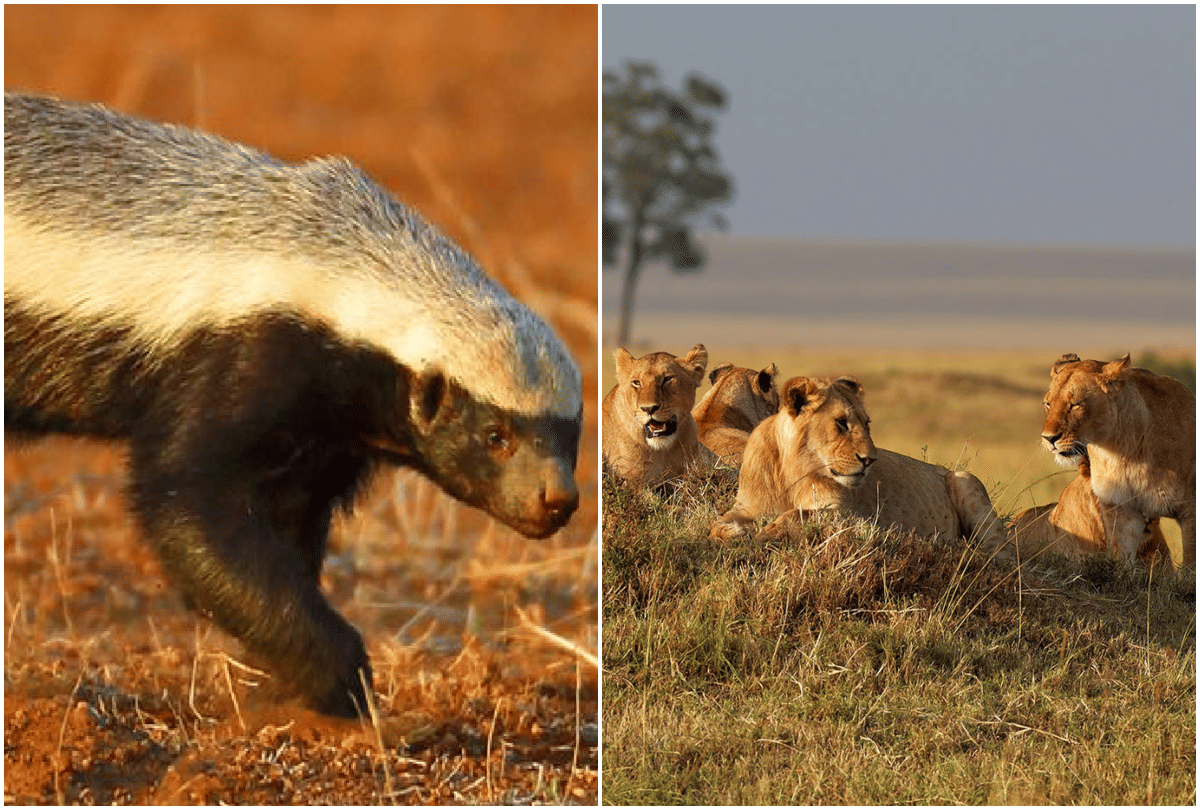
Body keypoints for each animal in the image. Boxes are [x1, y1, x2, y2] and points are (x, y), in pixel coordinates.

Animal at [709, 375, 1010, 558]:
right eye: (841, 423)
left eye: (867, 424)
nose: (871, 460)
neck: (791, 473)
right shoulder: (746, 506)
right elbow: (717, 524)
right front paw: (736, 533)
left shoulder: (848, 516)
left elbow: (797, 515)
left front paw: (766, 533)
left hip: (965, 480)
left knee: (1003, 555)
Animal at [1039, 353, 1195, 568]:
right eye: (1048, 404)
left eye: (1075, 404)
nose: (1048, 438)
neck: (1122, 450)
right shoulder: (1122, 509)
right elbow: (1123, 561)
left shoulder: (1191, 512)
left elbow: (1191, 566)